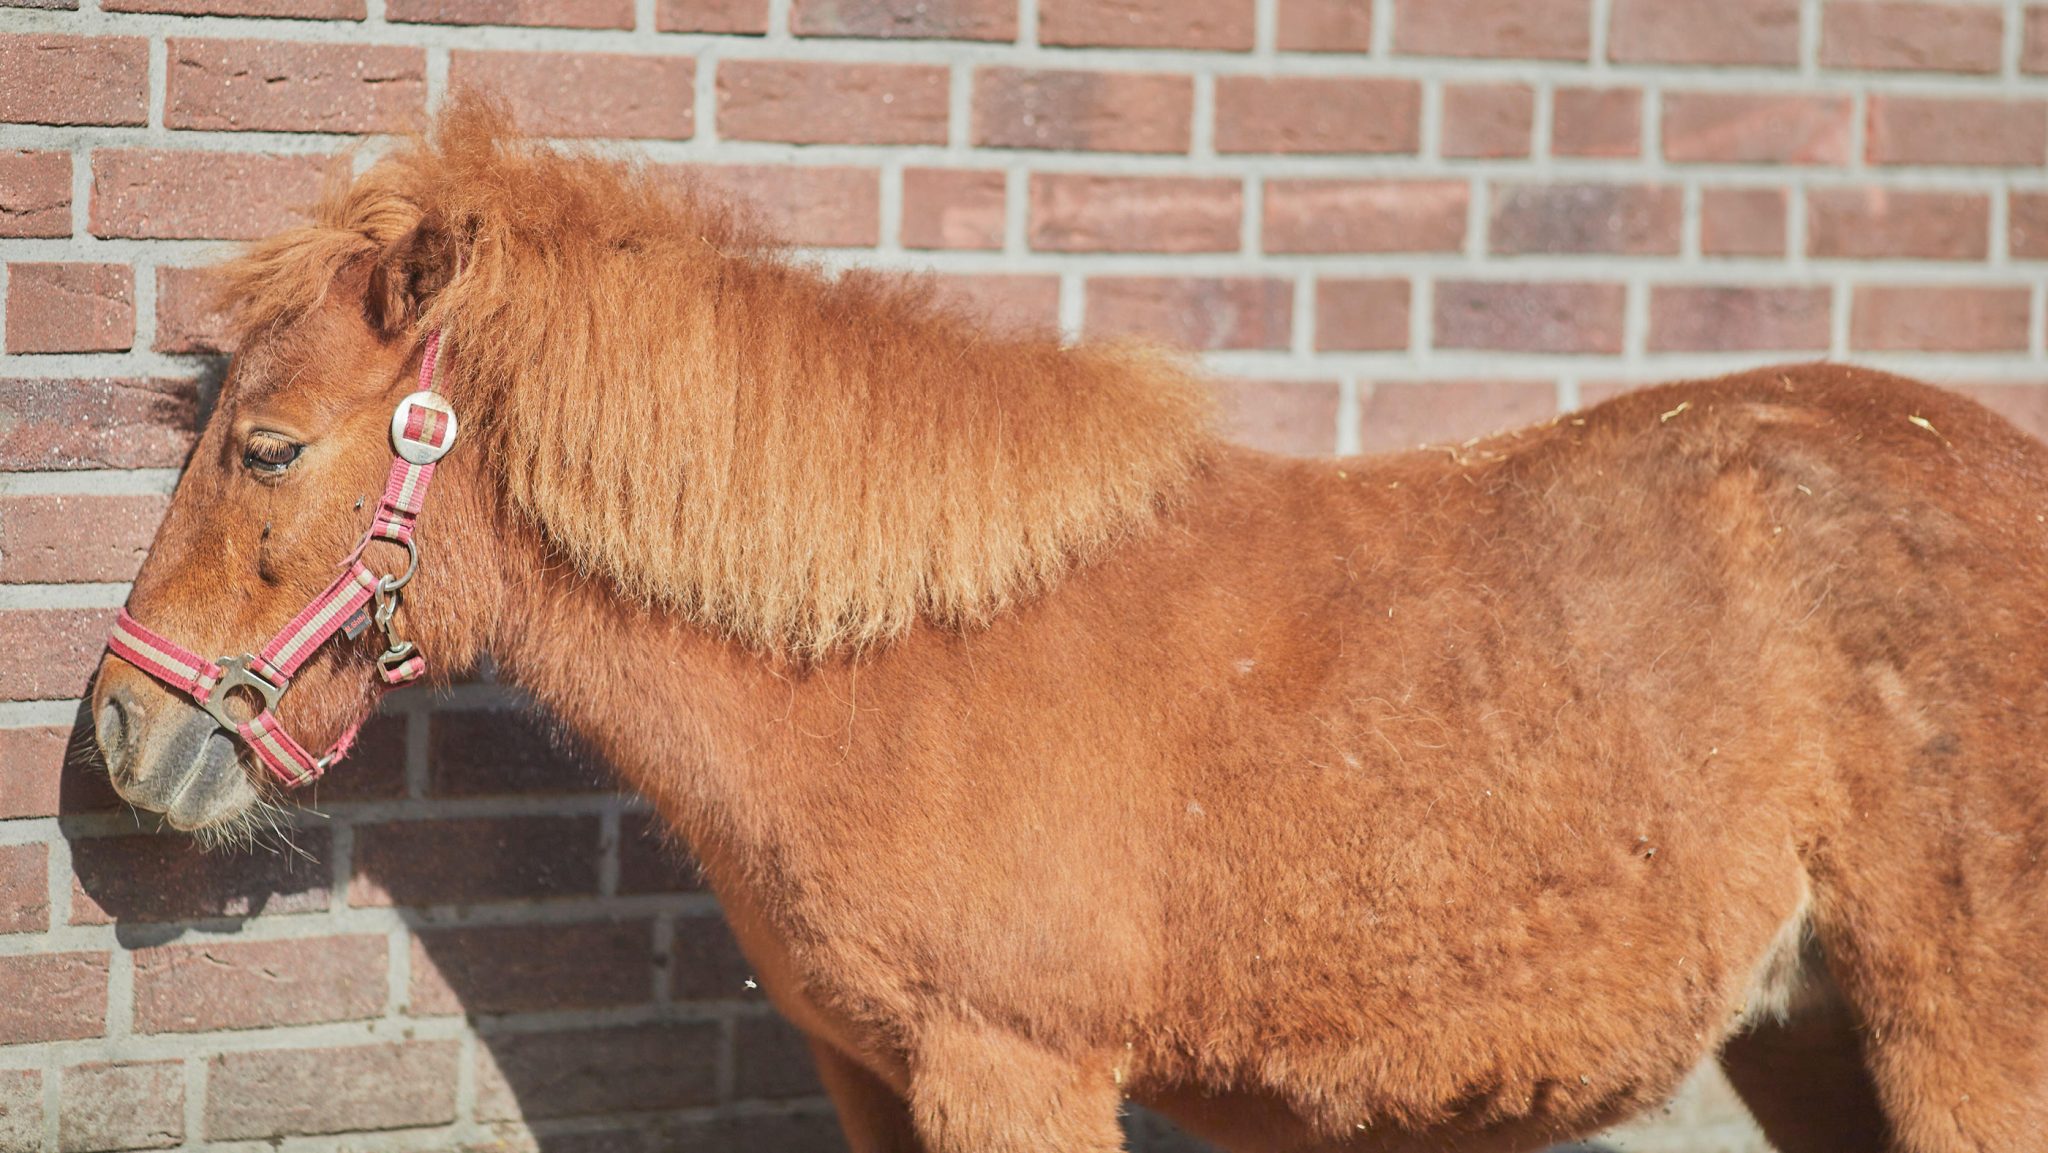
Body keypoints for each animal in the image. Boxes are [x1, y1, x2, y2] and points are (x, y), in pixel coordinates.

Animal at [91, 95, 2048, 1153]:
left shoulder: (1008, 1067)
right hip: (1813, 1033)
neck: (889, 669)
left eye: (269, 445)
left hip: (1961, 1034)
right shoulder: (869, 1069)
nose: (120, 726)